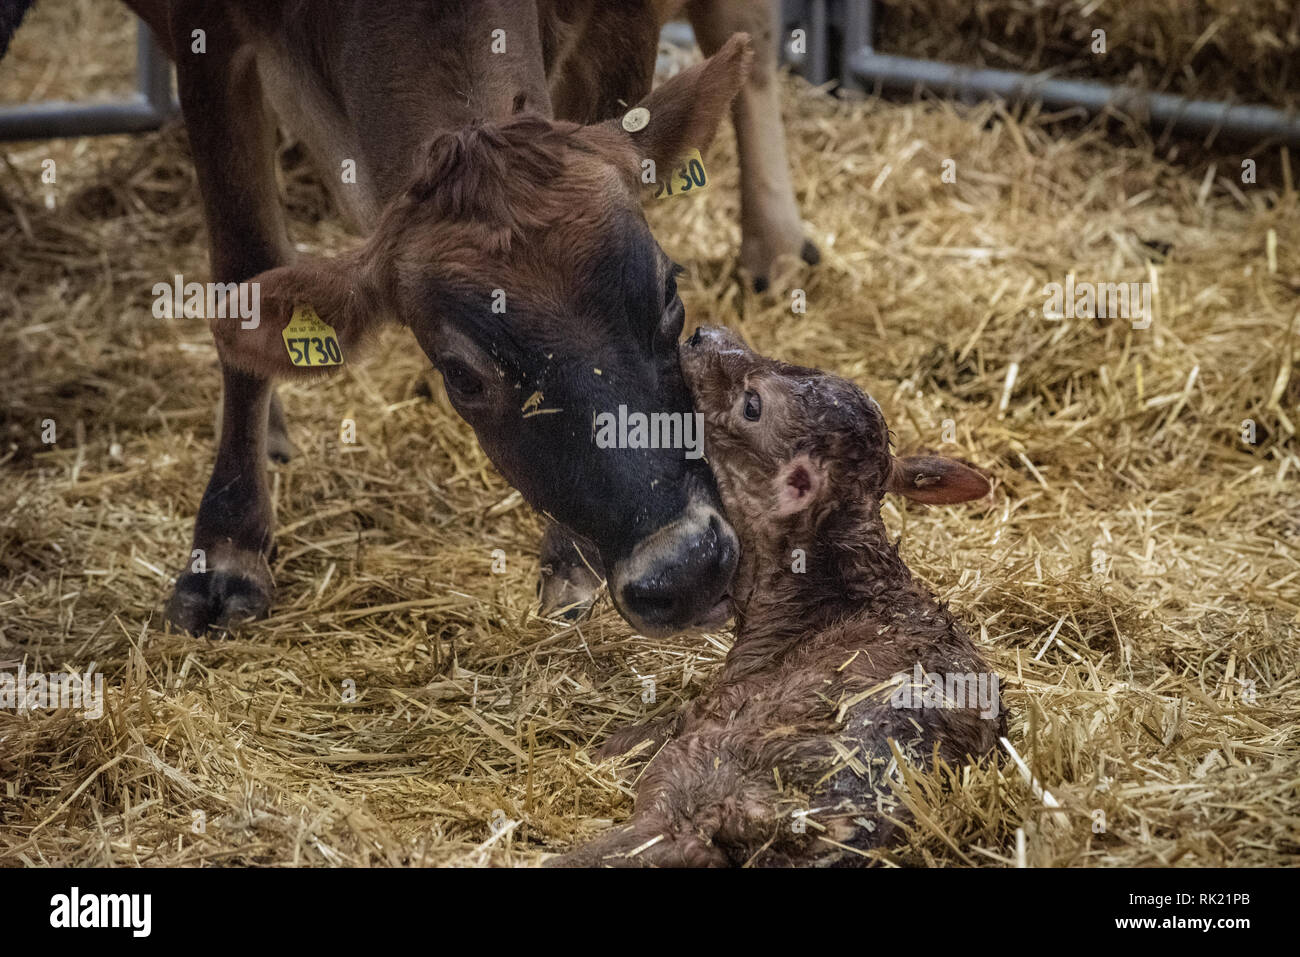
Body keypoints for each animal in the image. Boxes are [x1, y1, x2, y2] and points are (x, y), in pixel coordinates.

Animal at [1, 0, 820, 636]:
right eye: (461, 375)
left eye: (671, 296)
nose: (687, 568)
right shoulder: (209, 37)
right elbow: (245, 267)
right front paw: (226, 545)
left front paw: (568, 560)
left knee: (747, 40)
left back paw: (776, 244)